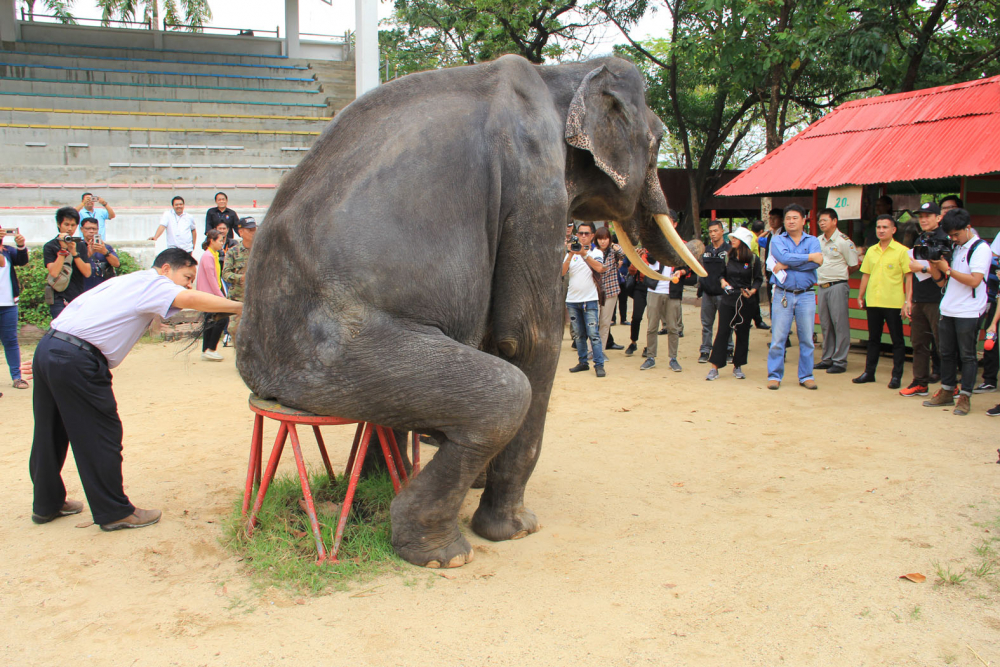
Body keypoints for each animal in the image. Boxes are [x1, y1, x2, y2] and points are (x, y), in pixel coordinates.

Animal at [236, 55, 705, 568]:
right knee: (503, 397)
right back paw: (443, 553)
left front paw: (484, 492)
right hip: (333, 356)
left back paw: (385, 486)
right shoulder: (535, 186)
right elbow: (528, 339)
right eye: (658, 142)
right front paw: (516, 529)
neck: (561, 73)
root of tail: (260, 377)